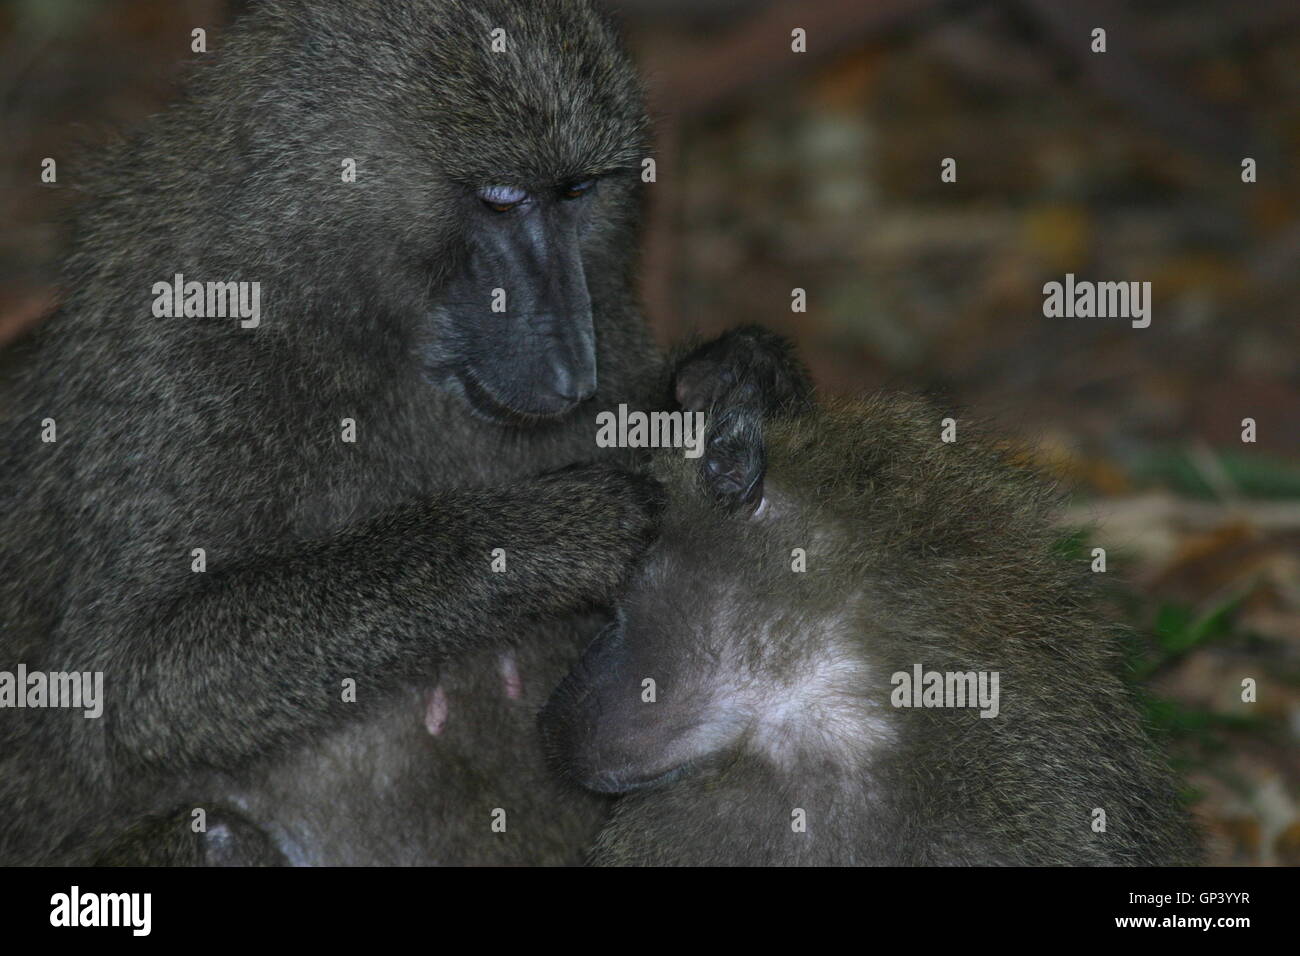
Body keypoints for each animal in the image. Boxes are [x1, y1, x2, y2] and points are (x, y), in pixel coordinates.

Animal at [0, 0, 798, 866]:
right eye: (501, 199)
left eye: (576, 192)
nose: (571, 370)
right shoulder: (174, 347)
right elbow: (132, 686)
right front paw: (546, 535)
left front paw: (737, 378)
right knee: (213, 830)